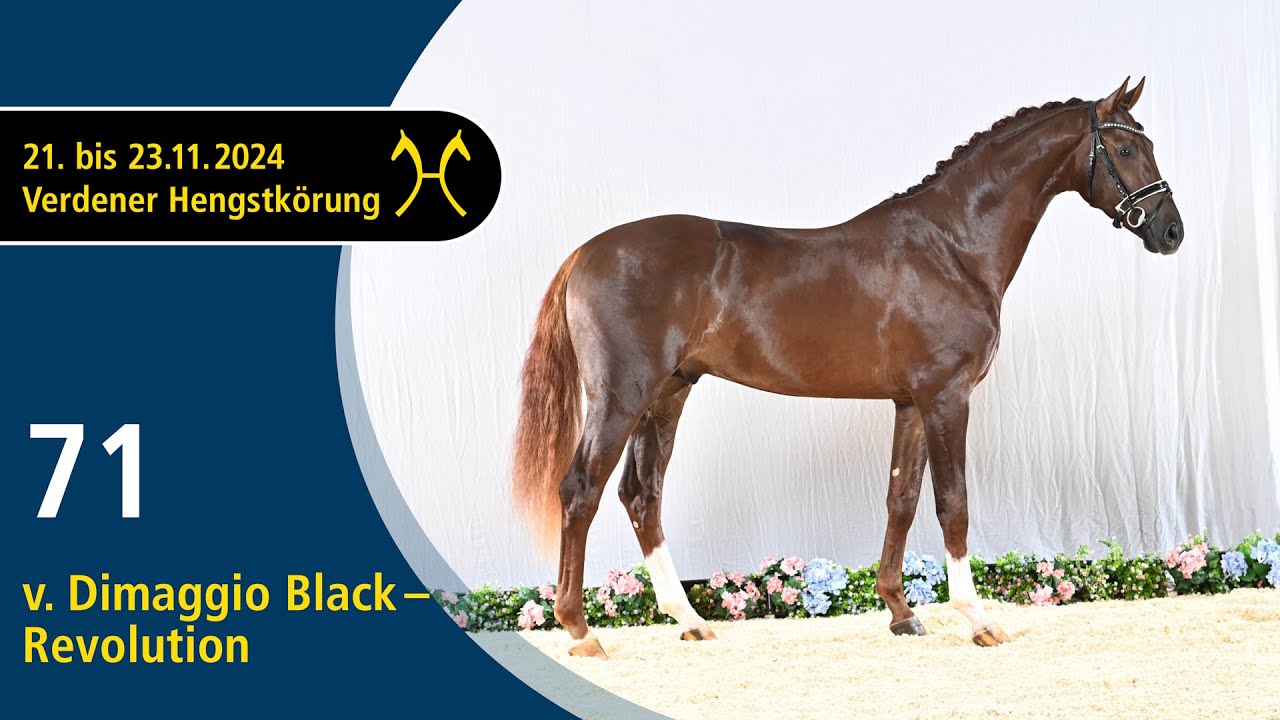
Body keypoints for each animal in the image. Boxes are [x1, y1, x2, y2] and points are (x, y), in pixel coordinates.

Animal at [512, 77, 1182, 658]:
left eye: (1148, 144)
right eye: (1126, 147)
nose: (1171, 232)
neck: (951, 246)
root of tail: (586, 253)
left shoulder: (911, 402)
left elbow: (901, 499)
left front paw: (902, 613)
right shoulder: (947, 396)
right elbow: (953, 502)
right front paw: (978, 620)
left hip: (668, 392)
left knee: (640, 493)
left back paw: (690, 620)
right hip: (622, 394)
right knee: (582, 489)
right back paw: (581, 631)